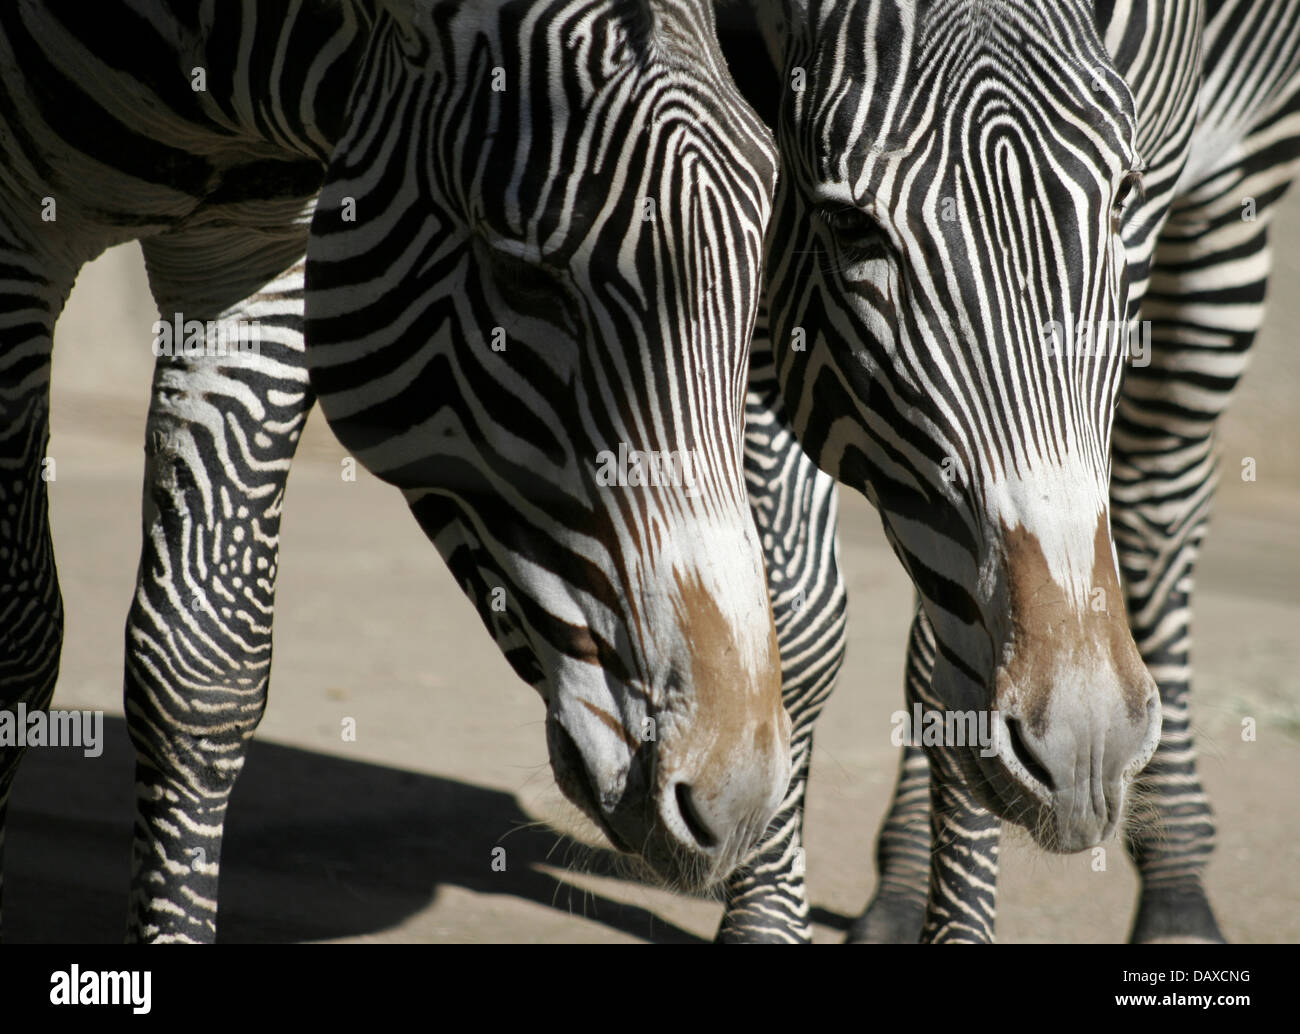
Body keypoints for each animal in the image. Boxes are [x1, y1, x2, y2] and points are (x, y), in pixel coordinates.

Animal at [0, 0, 847, 943]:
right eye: (520, 275)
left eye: (761, 266)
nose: (735, 799)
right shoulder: (15, 229)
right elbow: (18, 646)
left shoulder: (263, 252)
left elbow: (203, 664)